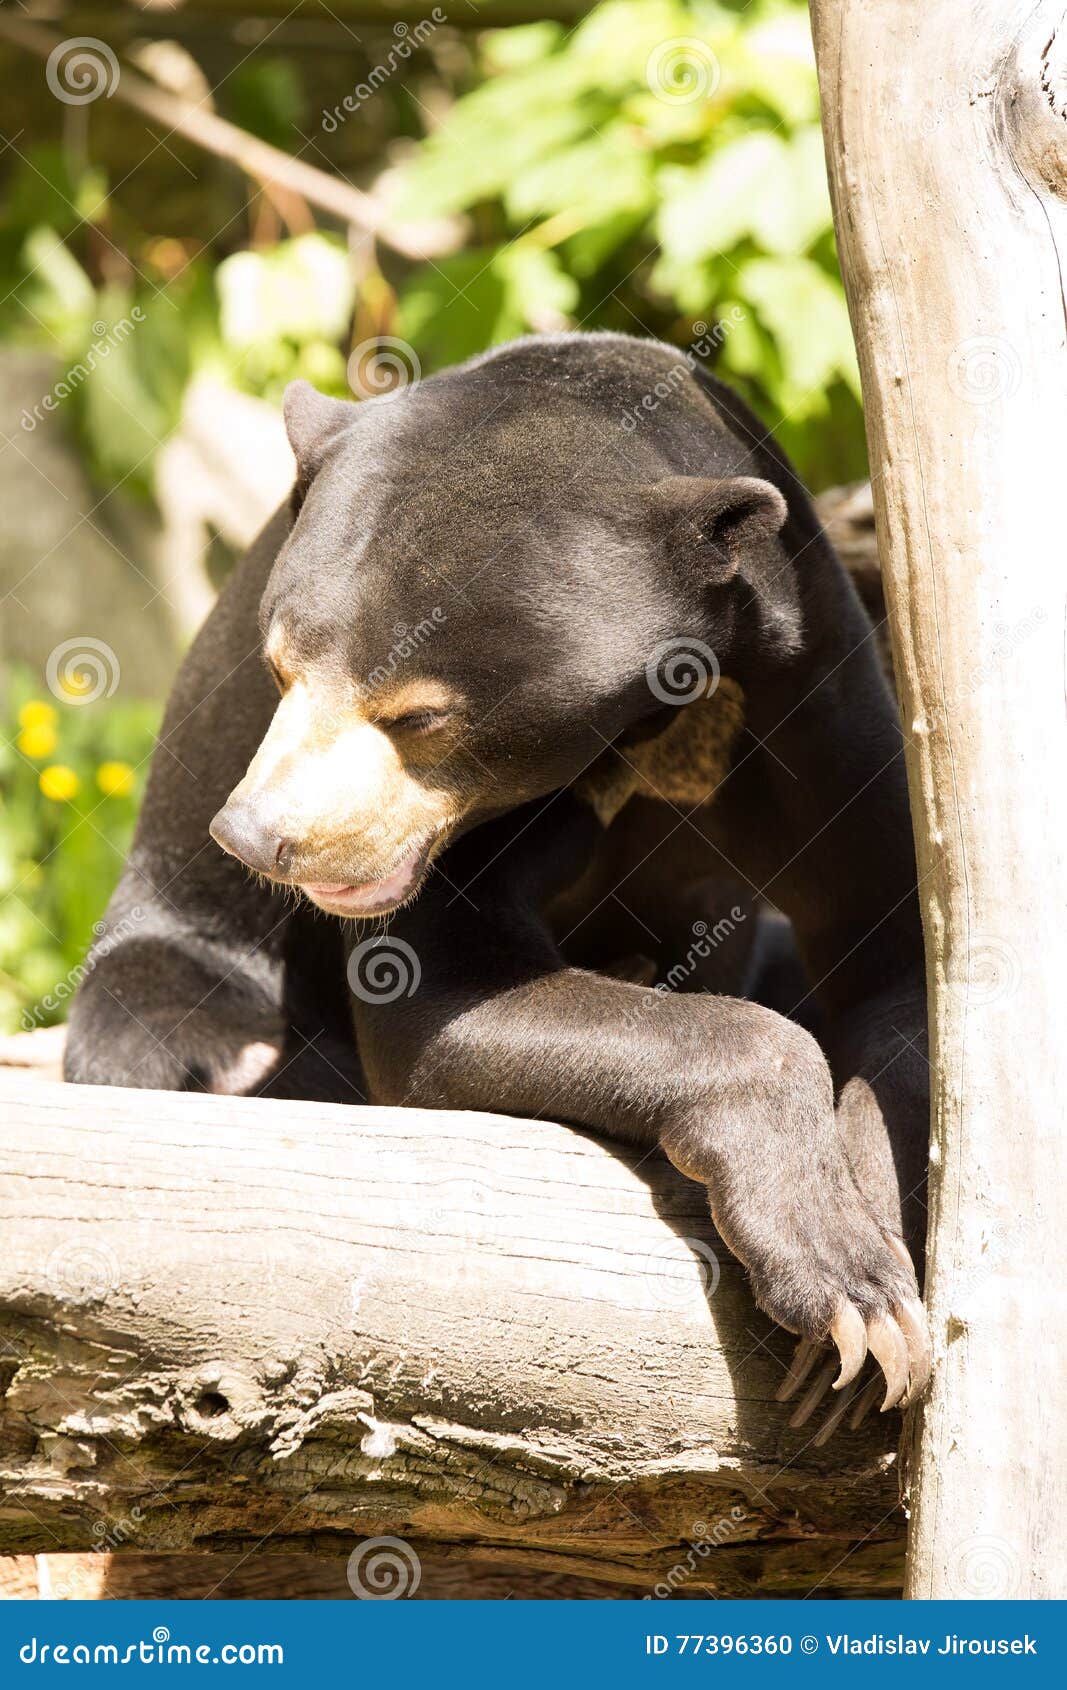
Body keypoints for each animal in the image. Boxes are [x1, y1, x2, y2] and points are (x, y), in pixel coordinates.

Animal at [65, 332, 931, 1434]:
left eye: (419, 715)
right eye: (275, 666)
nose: (255, 839)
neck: (657, 723)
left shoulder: (809, 684)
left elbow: (894, 966)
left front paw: (859, 1315)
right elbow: (433, 995)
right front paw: (843, 1292)